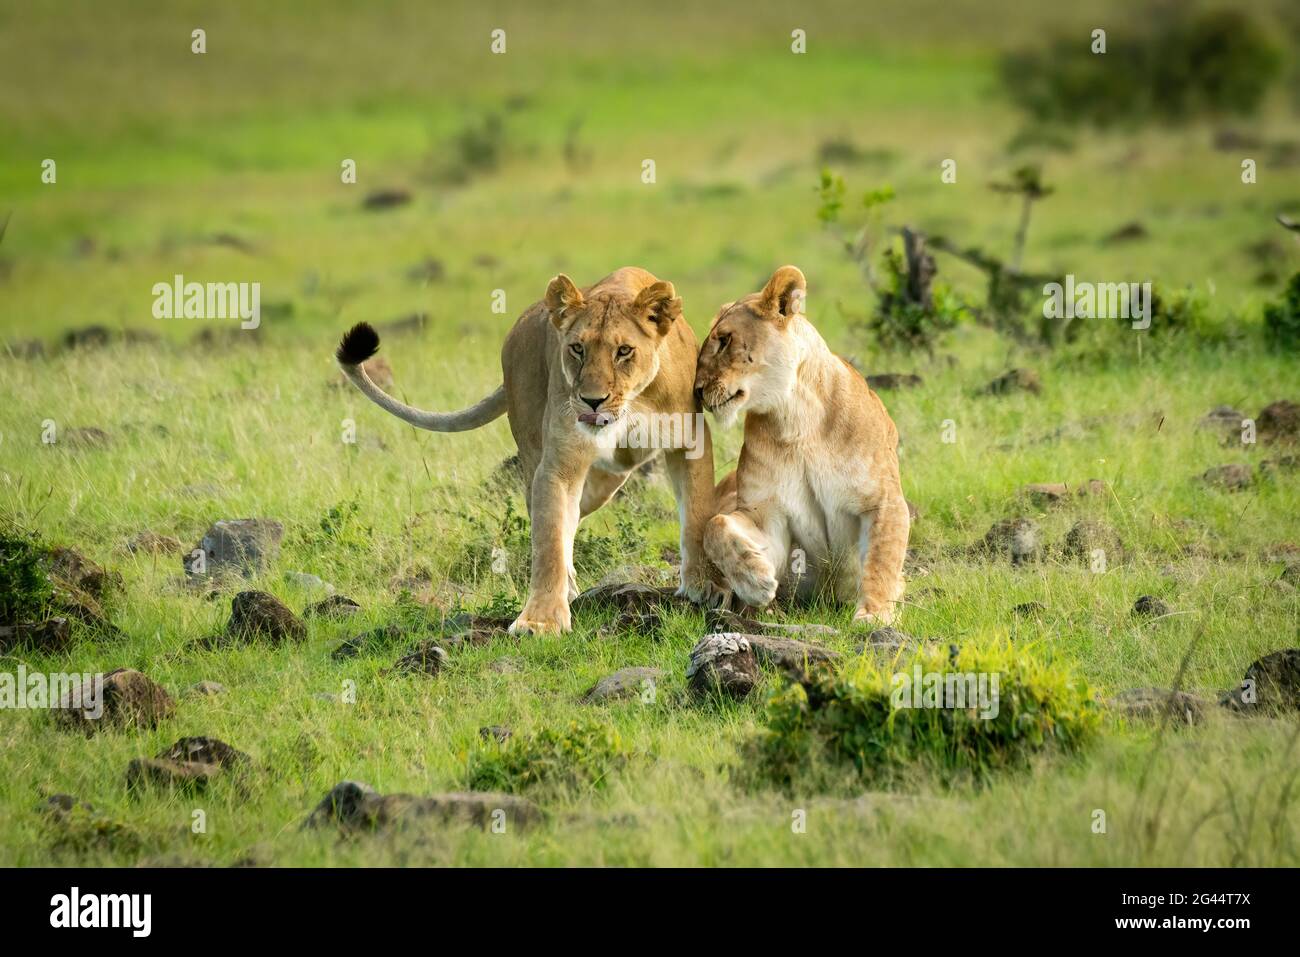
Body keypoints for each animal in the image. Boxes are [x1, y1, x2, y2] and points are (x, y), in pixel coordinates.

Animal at [336, 266, 721, 634]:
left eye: (624, 350)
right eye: (577, 348)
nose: (592, 401)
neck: (633, 401)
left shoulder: (690, 442)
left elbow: (697, 514)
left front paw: (705, 587)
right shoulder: (559, 464)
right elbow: (549, 541)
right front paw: (541, 620)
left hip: (607, 480)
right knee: (557, 520)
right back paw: (569, 590)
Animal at [694, 265, 909, 625]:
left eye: (725, 340)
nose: (696, 391)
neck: (796, 419)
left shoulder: (881, 500)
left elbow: (882, 559)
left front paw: (874, 615)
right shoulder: (768, 516)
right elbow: (717, 527)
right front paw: (755, 579)